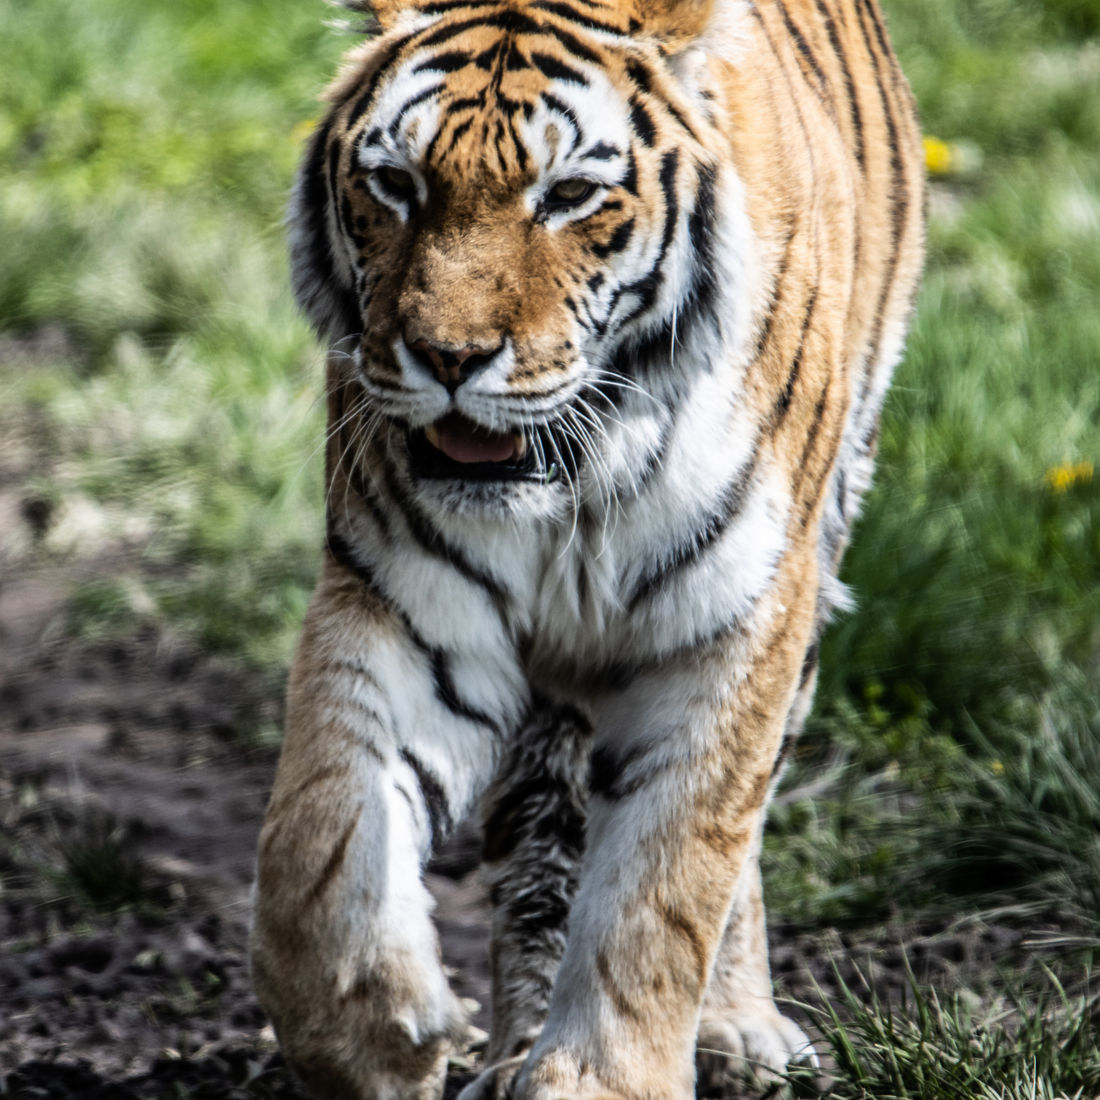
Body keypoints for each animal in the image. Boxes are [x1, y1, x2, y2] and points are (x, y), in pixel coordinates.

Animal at [249, 0, 925, 1093]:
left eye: (567, 195)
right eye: (396, 184)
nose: (447, 358)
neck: (576, 479)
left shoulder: (733, 625)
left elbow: (670, 882)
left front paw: (607, 1074)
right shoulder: (406, 602)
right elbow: (316, 838)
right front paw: (379, 1024)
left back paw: (739, 1028)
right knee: (538, 852)